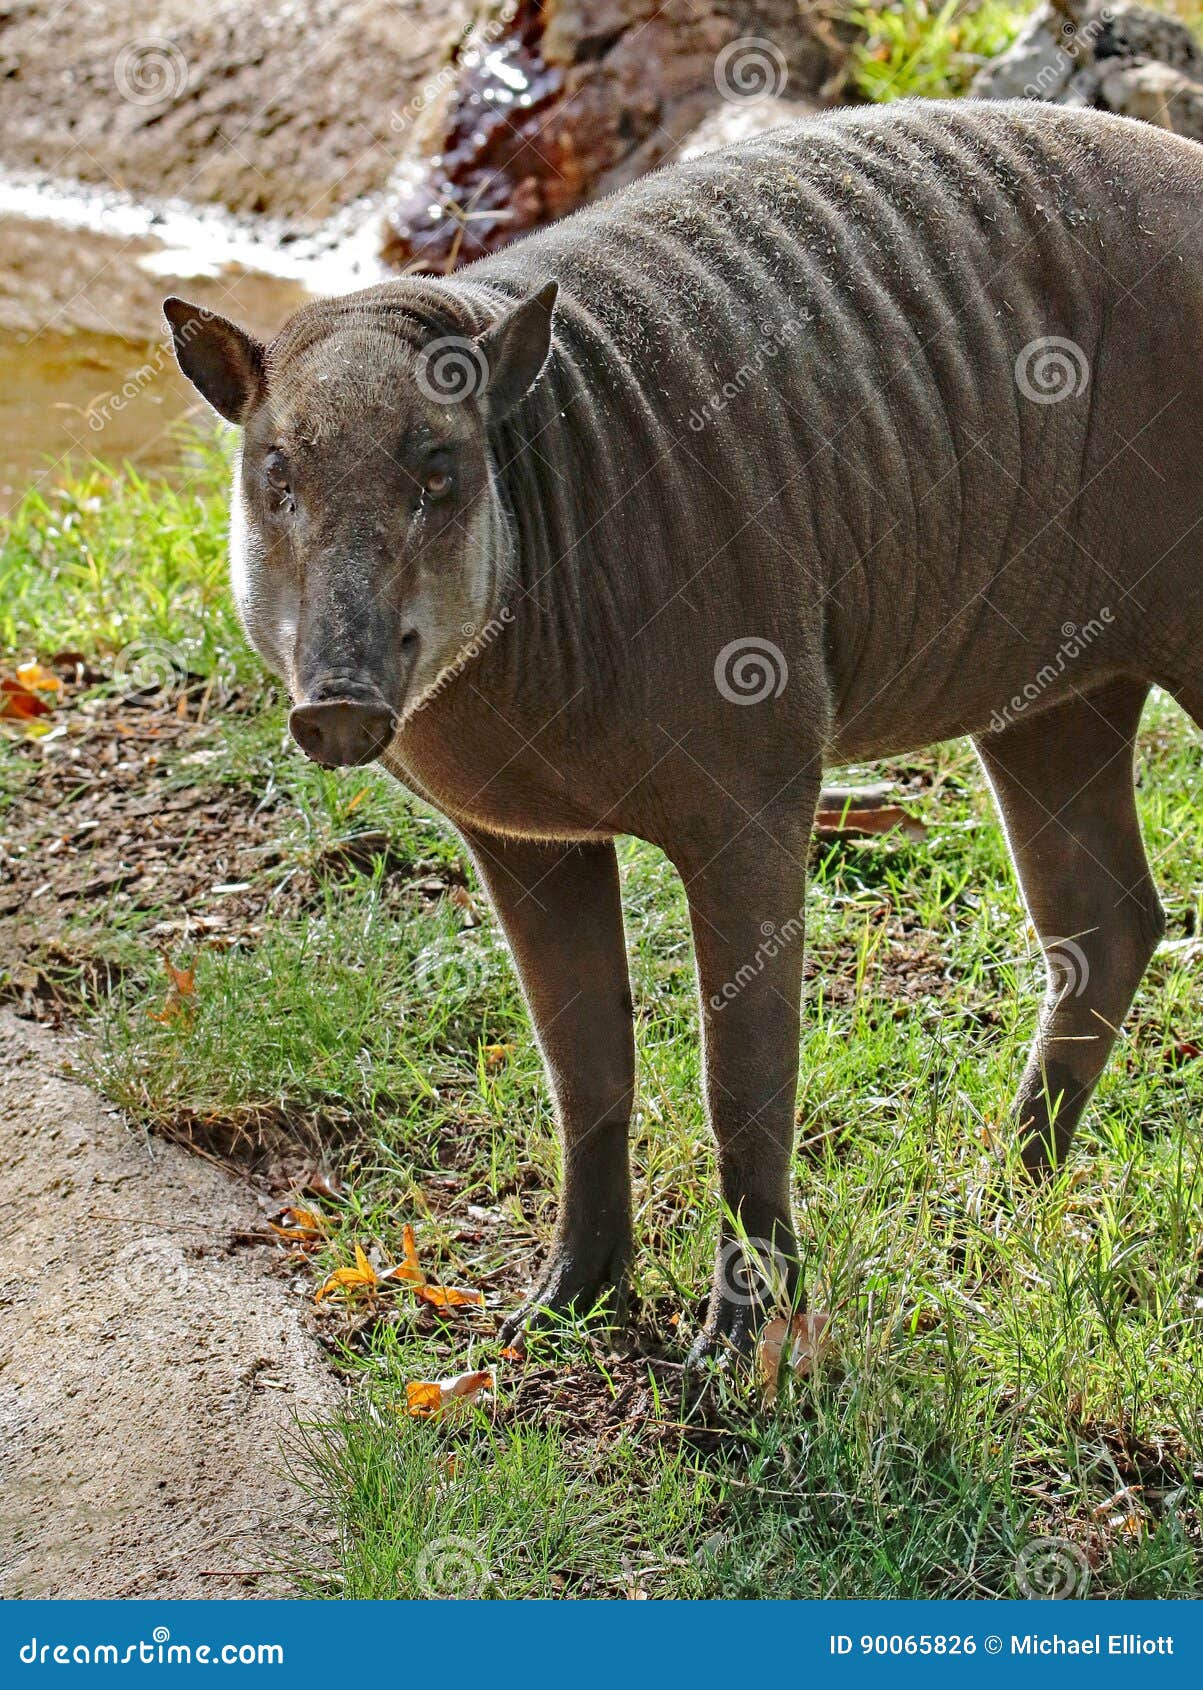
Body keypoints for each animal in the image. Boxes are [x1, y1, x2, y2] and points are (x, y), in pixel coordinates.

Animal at [165, 99, 1203, 1362]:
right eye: (274, 475)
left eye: (439, 470)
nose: (338, 705)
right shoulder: (522, 835)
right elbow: (583, 1065)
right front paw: (561, 1307)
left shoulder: (756, 788)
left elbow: (745, 1077)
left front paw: (735, 1349)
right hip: (1054, 691)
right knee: (1107, 920)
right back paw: (1000, 1197)